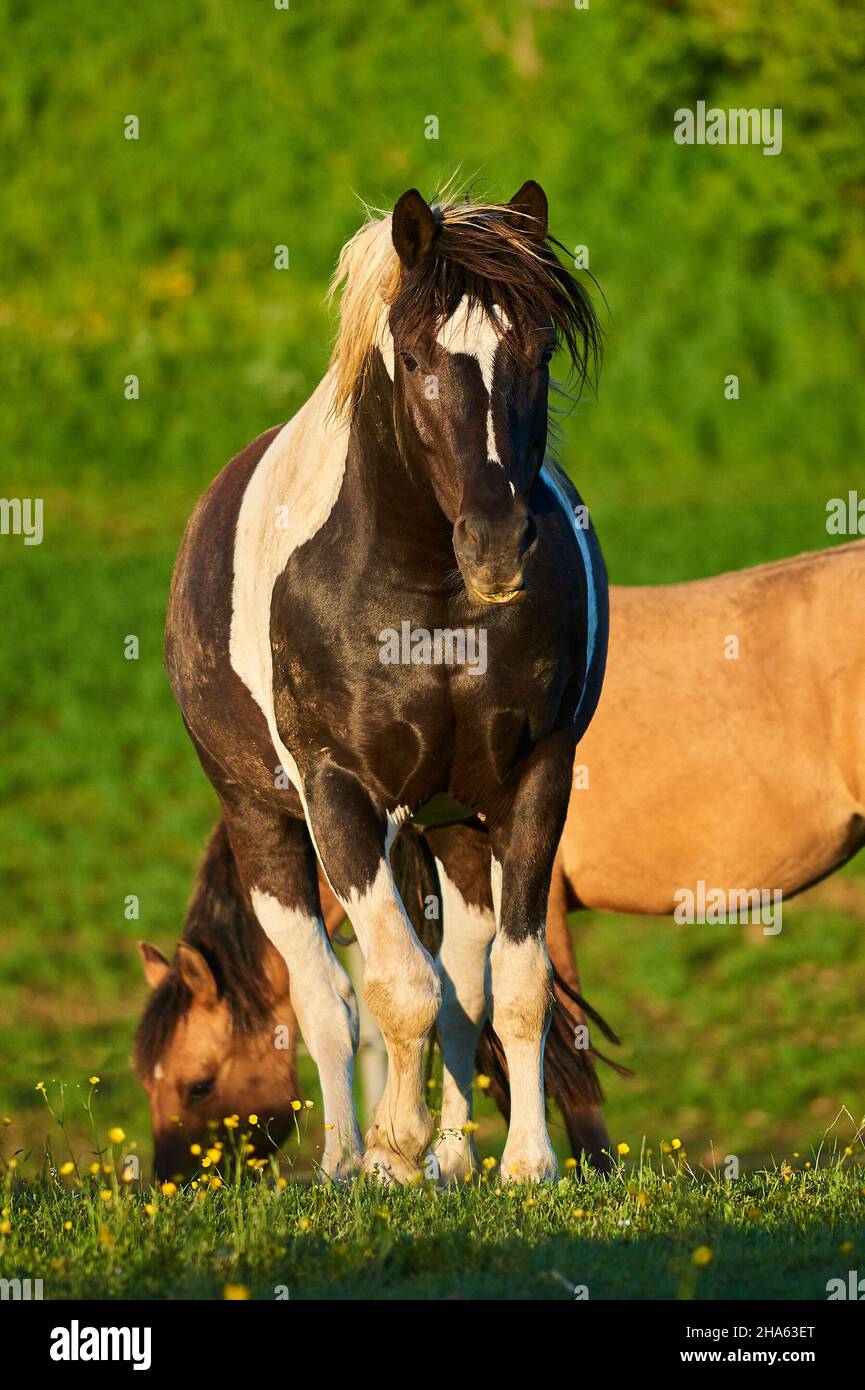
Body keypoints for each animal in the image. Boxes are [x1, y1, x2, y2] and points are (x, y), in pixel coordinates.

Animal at [139, 181, 607, 1183]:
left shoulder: (535, 780)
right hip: (271, 827)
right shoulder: (340, 795)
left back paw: (451, 1161)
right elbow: (392, 989)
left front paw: (525, 1166)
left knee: (459, 981)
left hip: (455, 827)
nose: (498, 543)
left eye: (538, 352)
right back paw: (352, 1161)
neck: (425, 596)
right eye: (420, 358)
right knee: (328, 1000)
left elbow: (511, 985)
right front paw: (392, 1151)